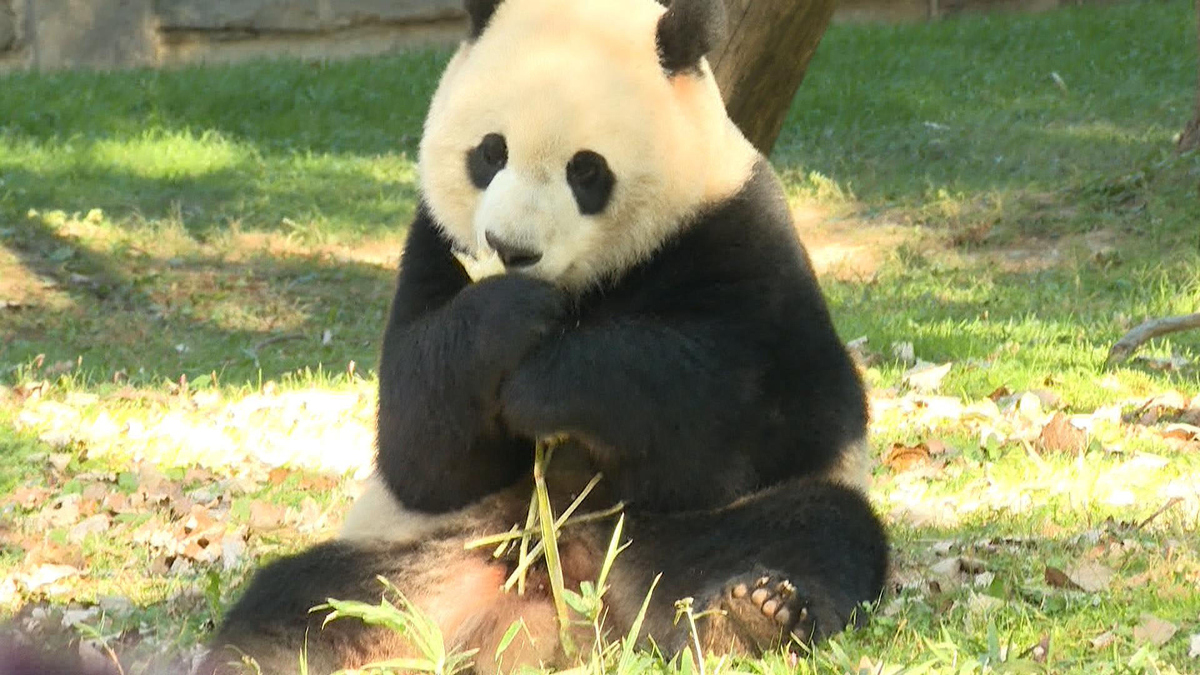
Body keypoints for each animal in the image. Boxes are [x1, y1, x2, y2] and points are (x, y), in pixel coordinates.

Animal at [197, 0, 888, 672]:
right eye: (490, 152)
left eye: (586, 170)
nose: (511, 248)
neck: (584, 283)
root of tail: (556, 607)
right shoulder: (432, 244)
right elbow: (416, 444)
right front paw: (509, 313)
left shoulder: (740, 234)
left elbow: (760, 413)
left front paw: (549, 385)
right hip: (414, 553)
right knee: (312, 602)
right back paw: (253, 656)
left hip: (678, 535)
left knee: (814, 529)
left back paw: (747, 618)